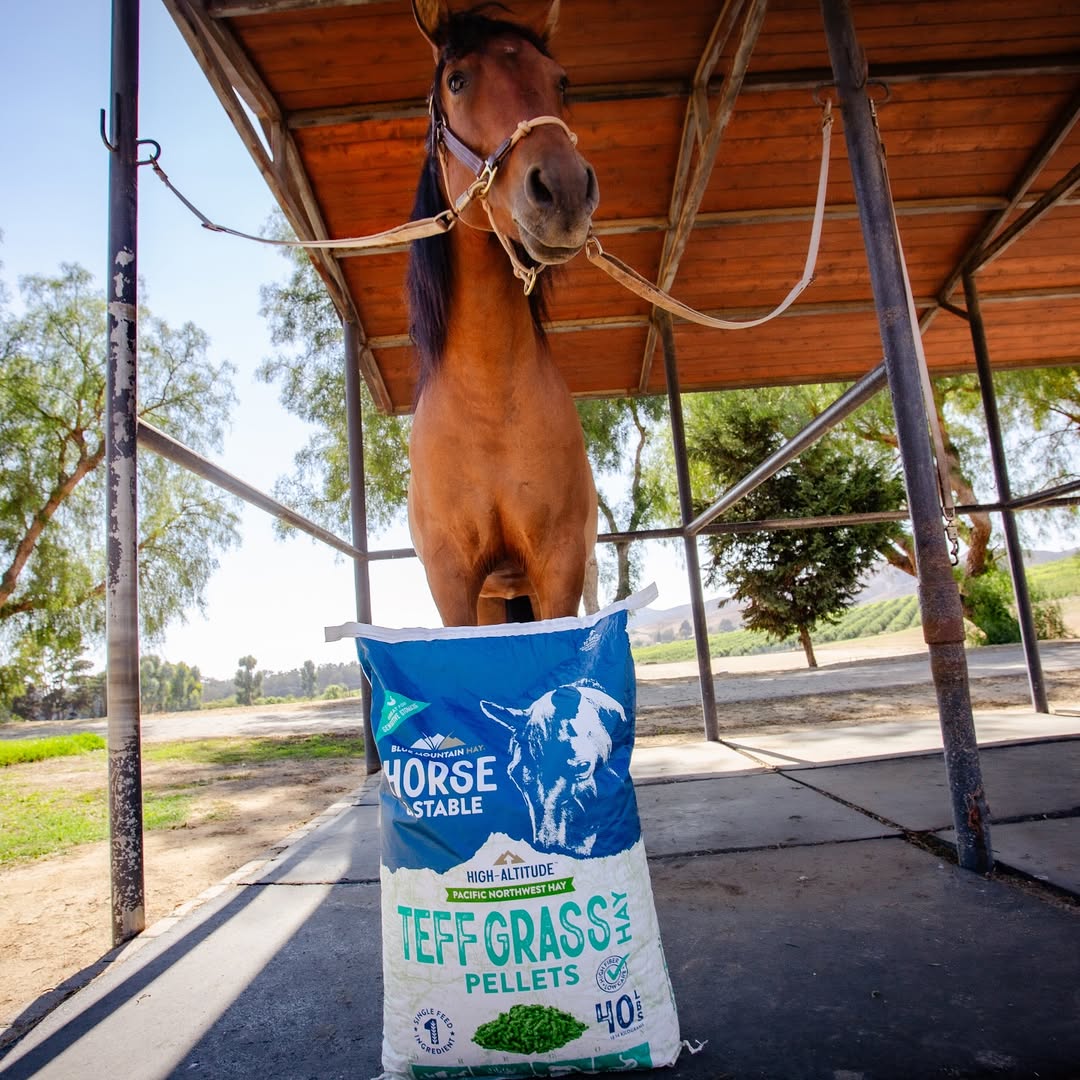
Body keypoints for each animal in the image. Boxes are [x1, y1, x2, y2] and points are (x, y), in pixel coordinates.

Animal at [406, 0, 600, 626]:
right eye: (456, 80)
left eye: (560, 81)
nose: (564, 190)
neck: (489, 403)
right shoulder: (453, 581)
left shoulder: (559, 566)